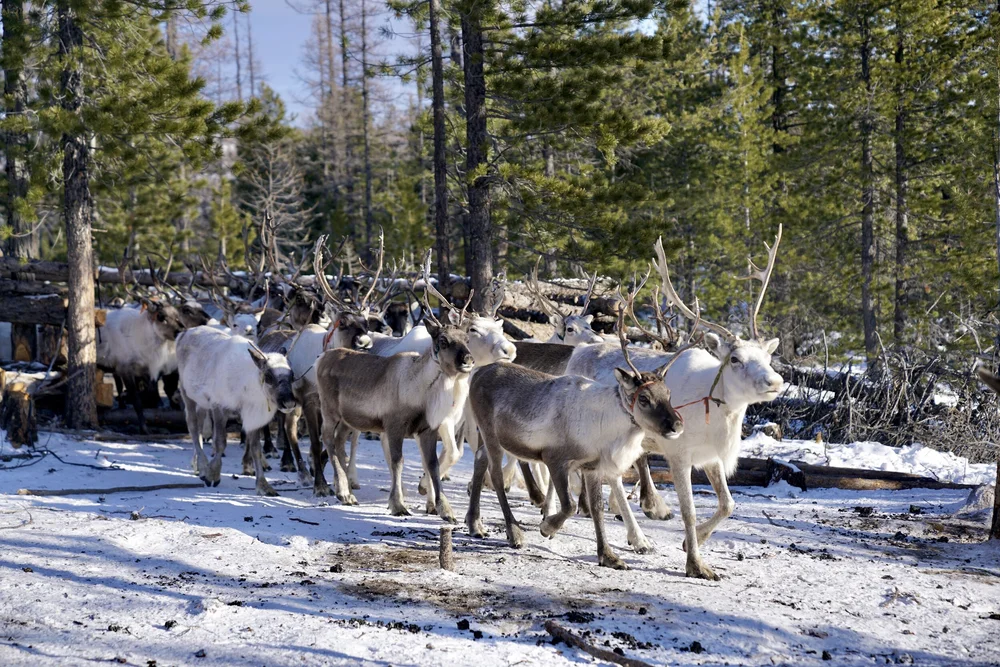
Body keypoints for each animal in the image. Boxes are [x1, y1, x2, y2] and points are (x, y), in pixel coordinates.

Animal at [175, 325, 297, 494]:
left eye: (292, 375)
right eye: (268, 376)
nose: (289, 403)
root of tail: (184, 333)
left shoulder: (253, 418)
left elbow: (256, 450)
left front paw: (263, 485)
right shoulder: (220, 407)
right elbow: (220, 442)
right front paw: (213, 475)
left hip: (202, 402)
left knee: (199, 427)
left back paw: (198, 466)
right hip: (186, 393)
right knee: (192, 427)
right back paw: (203, 466)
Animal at [314, 253, 475, 521]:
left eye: (467, 339)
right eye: (443, 340)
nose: (468, 360)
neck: (421, 395)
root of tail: (323, 356)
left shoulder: (427, 429)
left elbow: (432, 465)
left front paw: (445, 509)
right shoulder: (394, 423)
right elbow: (397, 462)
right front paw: (398, 504)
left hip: (348, 419)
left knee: (337, 442)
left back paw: (345, 490)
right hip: (329, 410)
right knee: (326, 438)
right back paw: (344, 492)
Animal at [466, 280, 688, 569]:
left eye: (668, 394)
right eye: (644, 399)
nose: (676, 425)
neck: (606, 429)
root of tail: (478, 372)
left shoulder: (592, 467)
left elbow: (596, 509)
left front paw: (609, 555)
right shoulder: (555, 458)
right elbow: (570, 506)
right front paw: (547, 527)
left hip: (487, 435)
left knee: (480, 459)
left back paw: (474, 523)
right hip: (490, 433)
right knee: (494, 472)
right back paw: (514, 533)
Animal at [565, 226, 785, 579]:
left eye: (767, 357)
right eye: (735, 359)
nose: (775, 382)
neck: (718, 419)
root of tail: (578, 351)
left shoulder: (710, 457)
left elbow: (728, 504)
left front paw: (689, 543)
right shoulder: (679, 454)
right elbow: (689, 511)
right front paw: (696, 564)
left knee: (613, 476)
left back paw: (636, 537)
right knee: (610, 477)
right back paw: (637, 537)